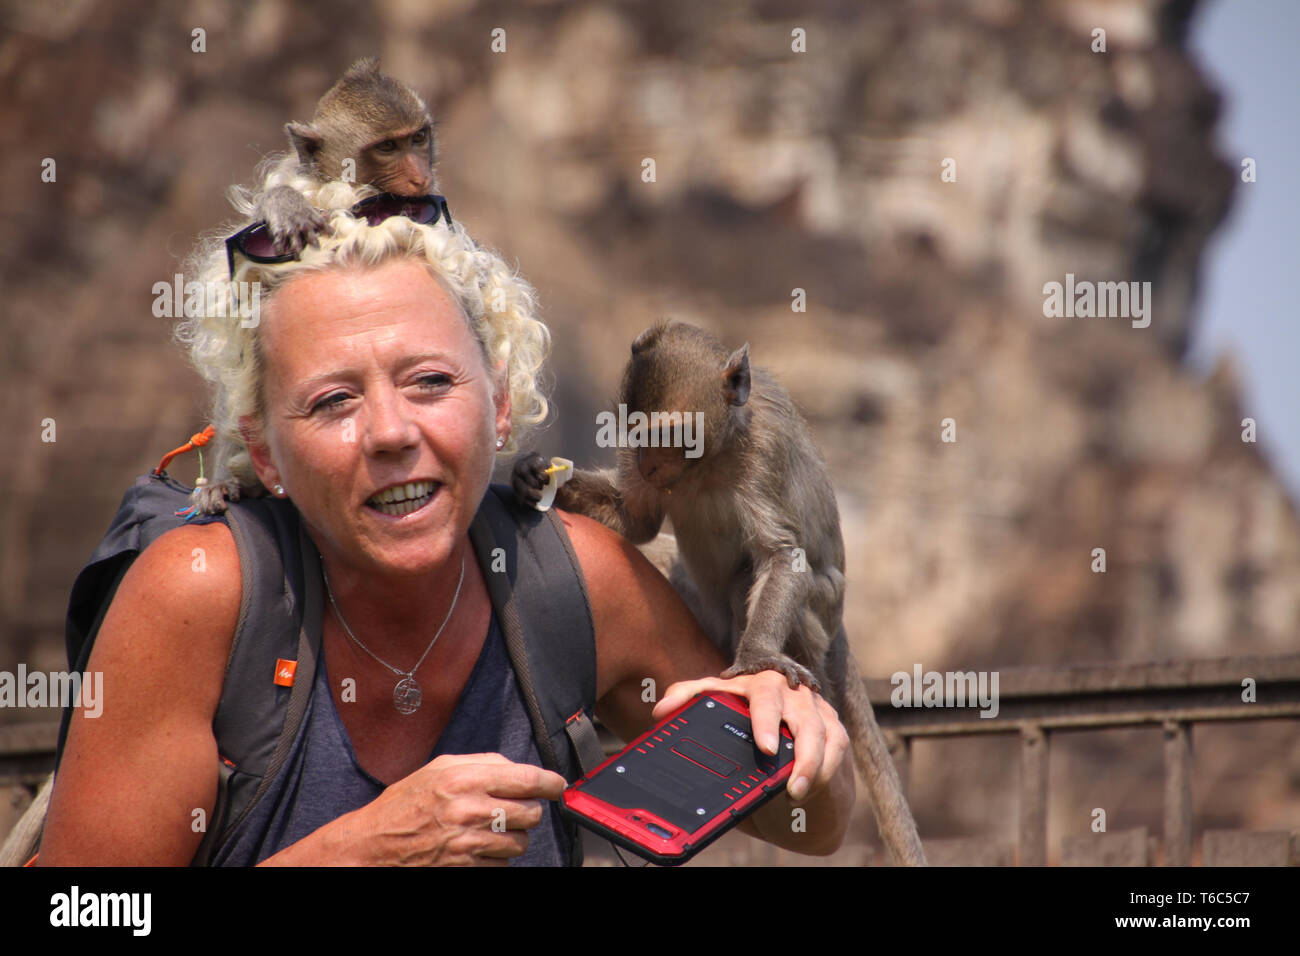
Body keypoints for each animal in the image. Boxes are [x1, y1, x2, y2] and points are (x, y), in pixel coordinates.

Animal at [512, 321, 927, 866]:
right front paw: (532, 477)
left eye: (669, 435)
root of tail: (839, 631)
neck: (708, 460)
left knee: (747, 578)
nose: (646, 465)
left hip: (818, 616)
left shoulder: (764, 454)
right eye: (637, 436)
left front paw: (756, 659)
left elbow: (781, 555)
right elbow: (634, 521)